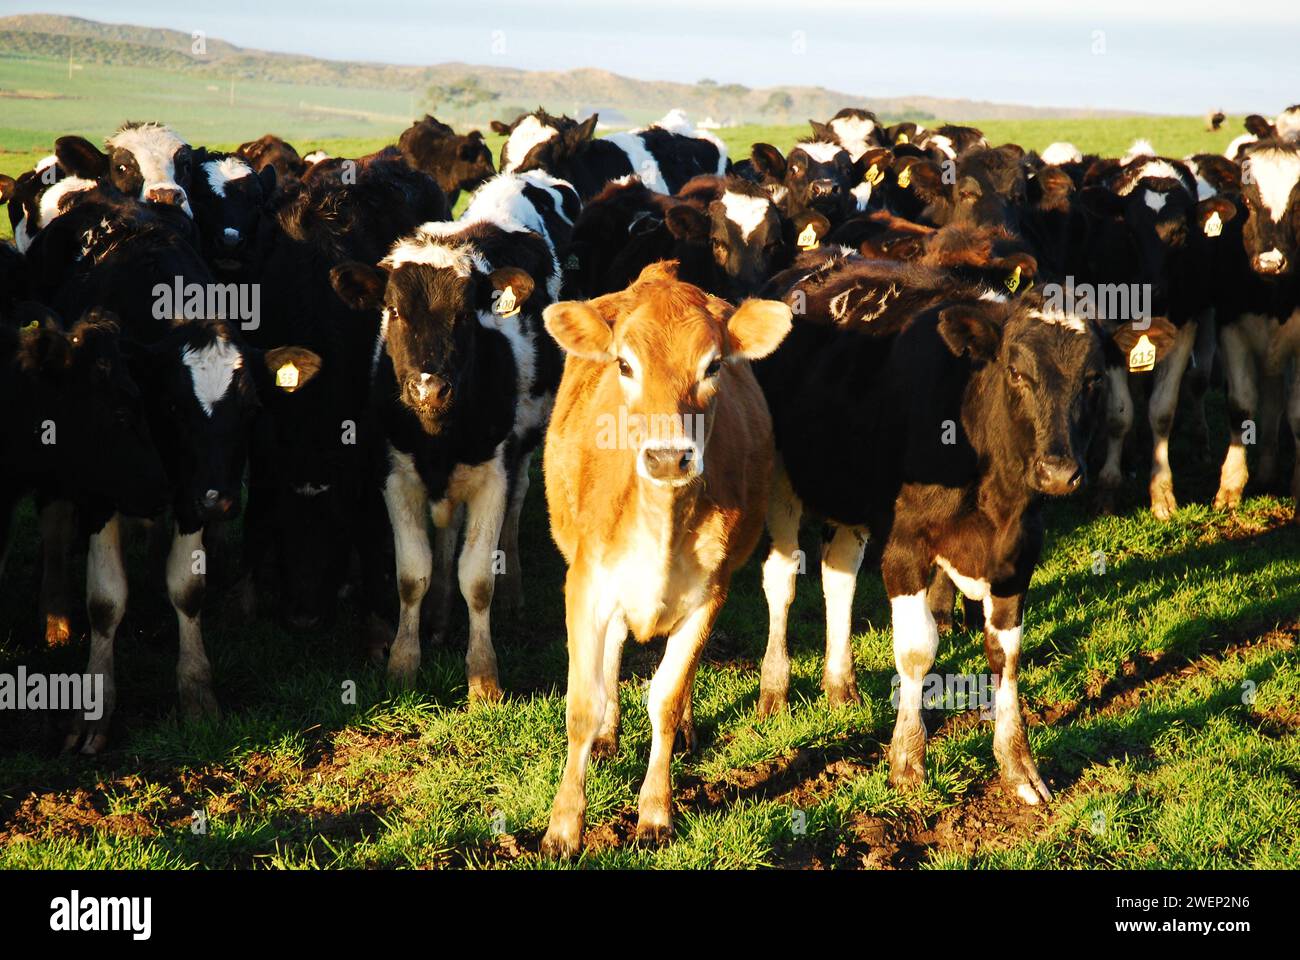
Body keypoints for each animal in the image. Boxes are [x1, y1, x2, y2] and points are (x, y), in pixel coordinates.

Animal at [327, 184, 564, 698]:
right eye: (394, 311)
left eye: (465, 315)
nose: (429, 389)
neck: (439, 437)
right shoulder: (395, 475)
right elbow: (412, 575)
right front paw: (403, 662)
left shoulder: (493, 477)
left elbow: (476, 578)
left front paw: (484, 678)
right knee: (448, 533)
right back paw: (436, 615)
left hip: (524, 446)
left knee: (515, 509)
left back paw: (512, 591)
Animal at [538, 260, 791, 856]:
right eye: (625, 364)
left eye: (714, 365)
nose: (668, 457)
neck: (662, 523)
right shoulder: (585, 586)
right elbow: (582, 705)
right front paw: (564, 824)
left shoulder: (709, 594)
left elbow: (667, 699)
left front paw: (655, 812)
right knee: (612, 652)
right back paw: (609, 735)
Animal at [752, 253, 1118, 804]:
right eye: (1016, 372)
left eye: (1093, 379)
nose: (1059, 472)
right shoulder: (906, 546)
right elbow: (918, 649)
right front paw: (907, 761)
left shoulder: (1021, 551)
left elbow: (1006, 653)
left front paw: (1019, 767)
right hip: (779, 479)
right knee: (781, 583)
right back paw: (774, 690)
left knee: (839, 577)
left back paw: (841, 686)